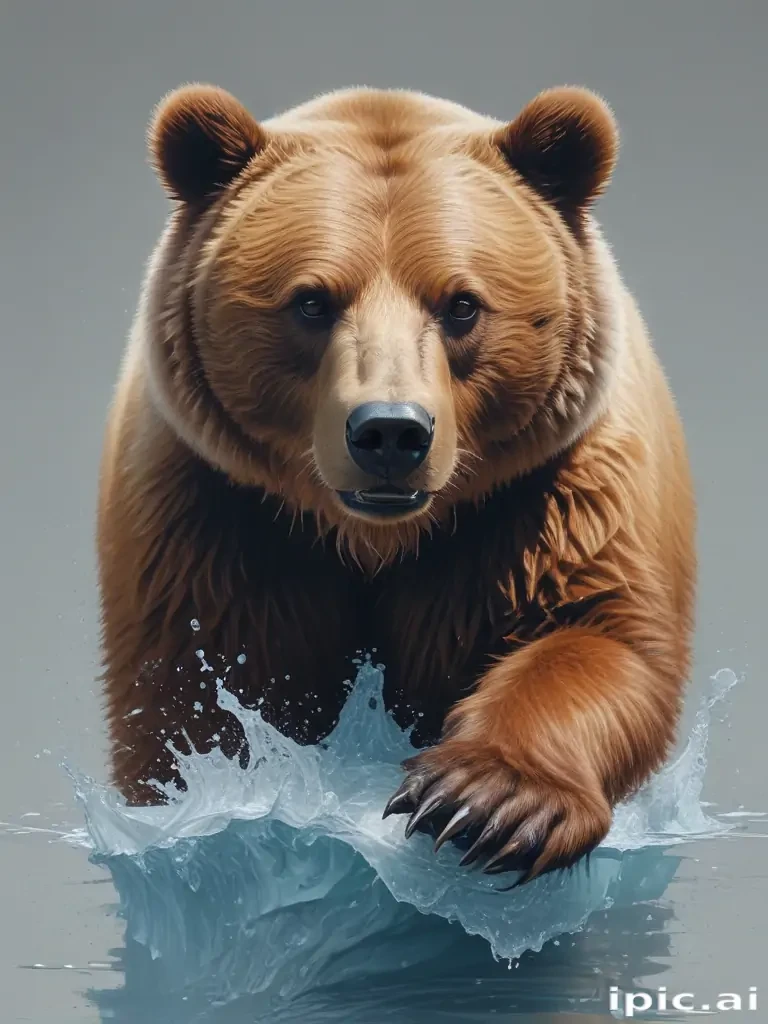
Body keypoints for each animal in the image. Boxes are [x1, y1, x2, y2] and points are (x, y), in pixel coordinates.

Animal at [98, 81, 695, 885]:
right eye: (311, 301)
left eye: (463, 303)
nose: (390, 433)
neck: (379, 538)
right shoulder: (214, 517)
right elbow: (193, 696)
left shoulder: (555, 493)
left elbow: (602, 639)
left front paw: (486, 802)